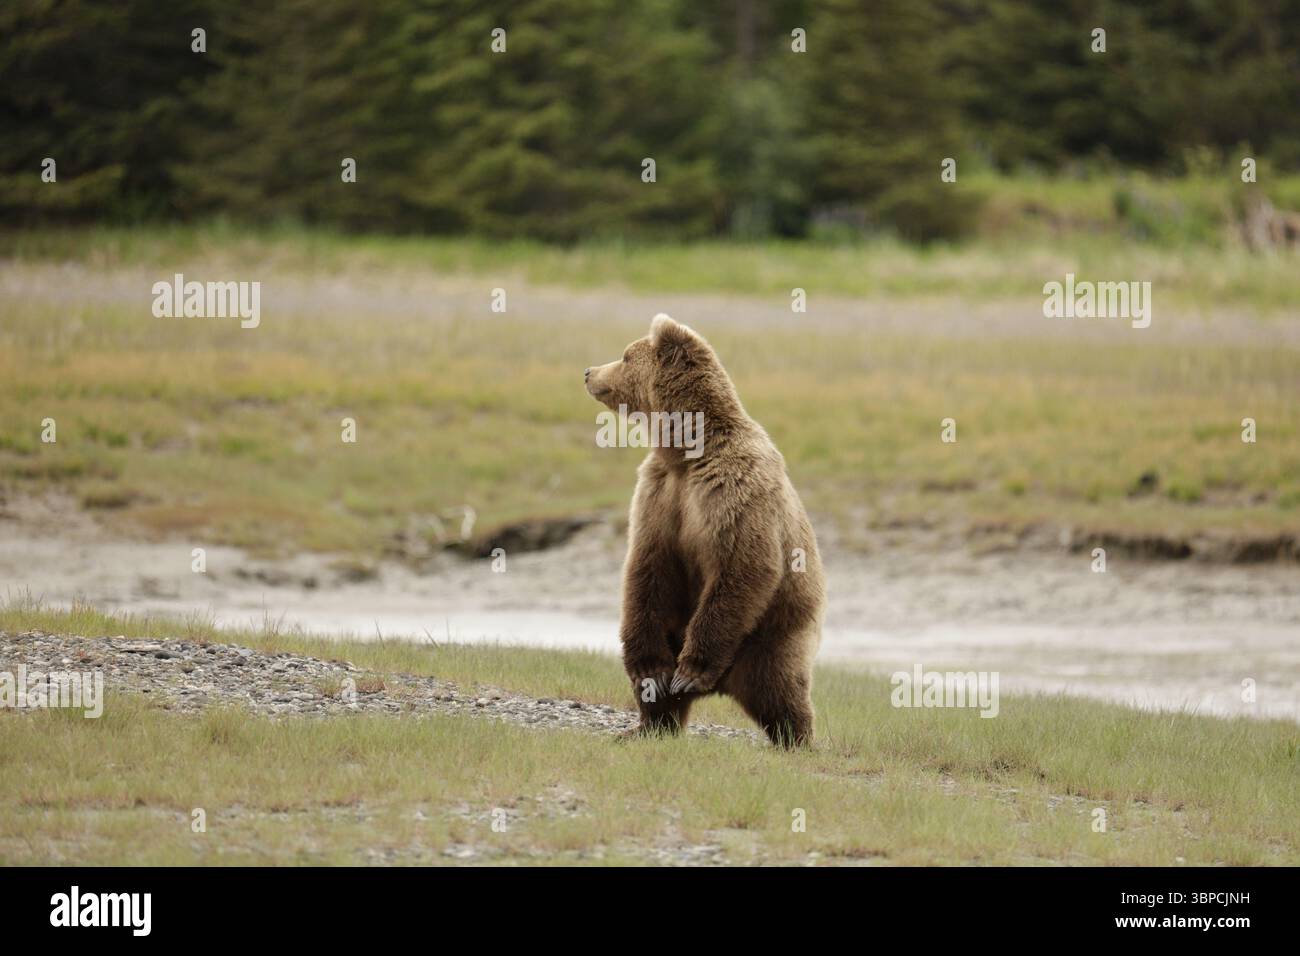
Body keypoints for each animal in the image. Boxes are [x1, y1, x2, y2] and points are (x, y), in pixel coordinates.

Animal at [584, 314, 825, 746]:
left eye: (625, 356)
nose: (589, 372)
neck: (687, 452)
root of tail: (726, 686)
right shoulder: (660, 494)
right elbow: (646, 568)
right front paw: (651, 670)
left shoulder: (735, 489)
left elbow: (744, 565)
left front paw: (690, 669)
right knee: (662, 694)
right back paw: (647, 723)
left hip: (774, 634)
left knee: (782, 686)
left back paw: (794, 738)